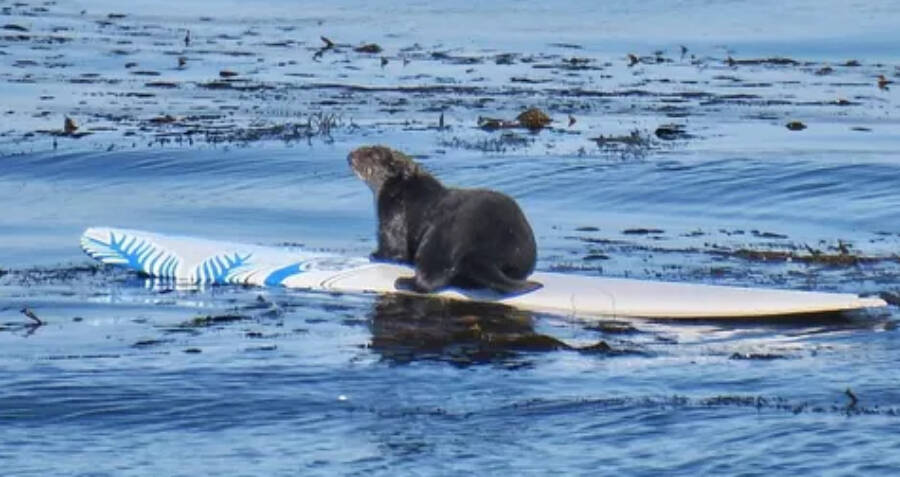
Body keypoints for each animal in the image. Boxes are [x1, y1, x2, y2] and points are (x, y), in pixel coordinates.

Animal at [348, 145, 540, 295]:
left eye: (370, 154)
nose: (350, 155)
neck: (404, 187)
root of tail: (485, 253)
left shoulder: (392, 213)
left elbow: (393, 249)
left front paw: (376, 255)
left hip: (442, 236)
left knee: (429, 279)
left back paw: (404, 281)